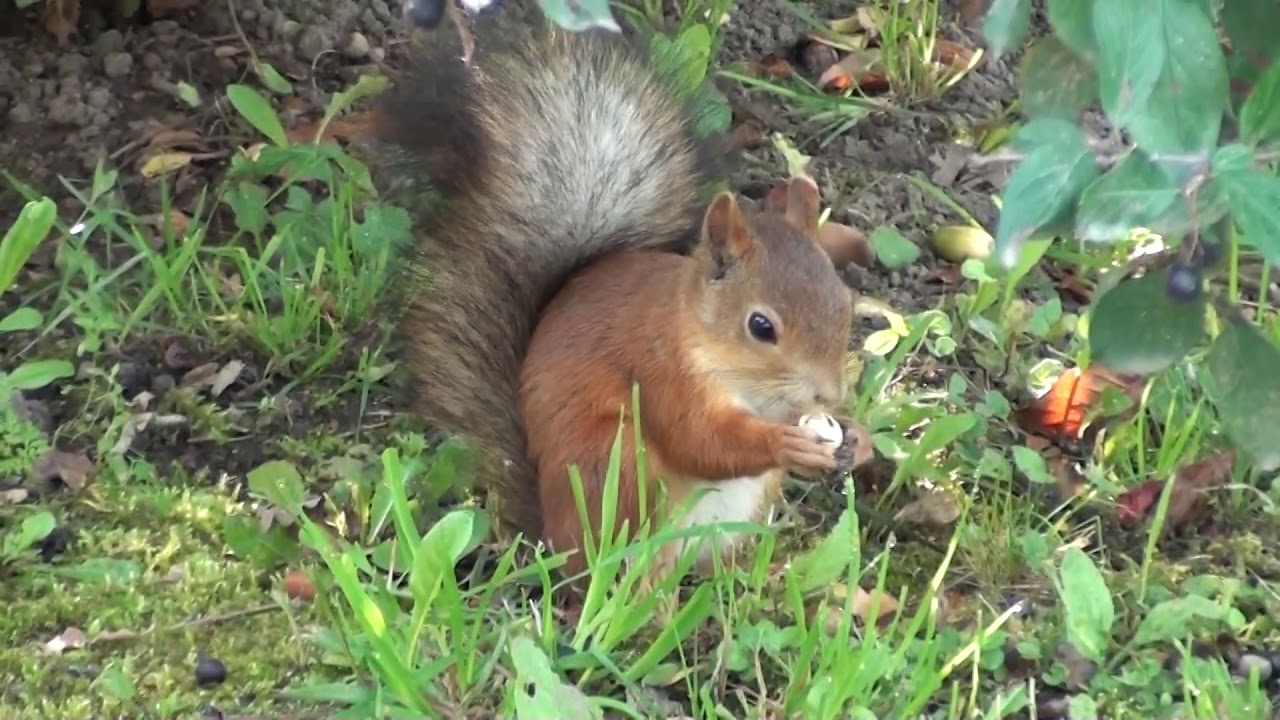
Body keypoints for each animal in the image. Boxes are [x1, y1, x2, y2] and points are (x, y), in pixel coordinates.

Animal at [374, 9, 875, 587]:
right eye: (761, 326)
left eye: (844, 304)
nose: (829, 396)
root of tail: (554, 543)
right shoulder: (661, 374)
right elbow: (699, 441)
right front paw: (783, 443)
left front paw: (857, 438)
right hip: (620, 468)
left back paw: (755, 579)